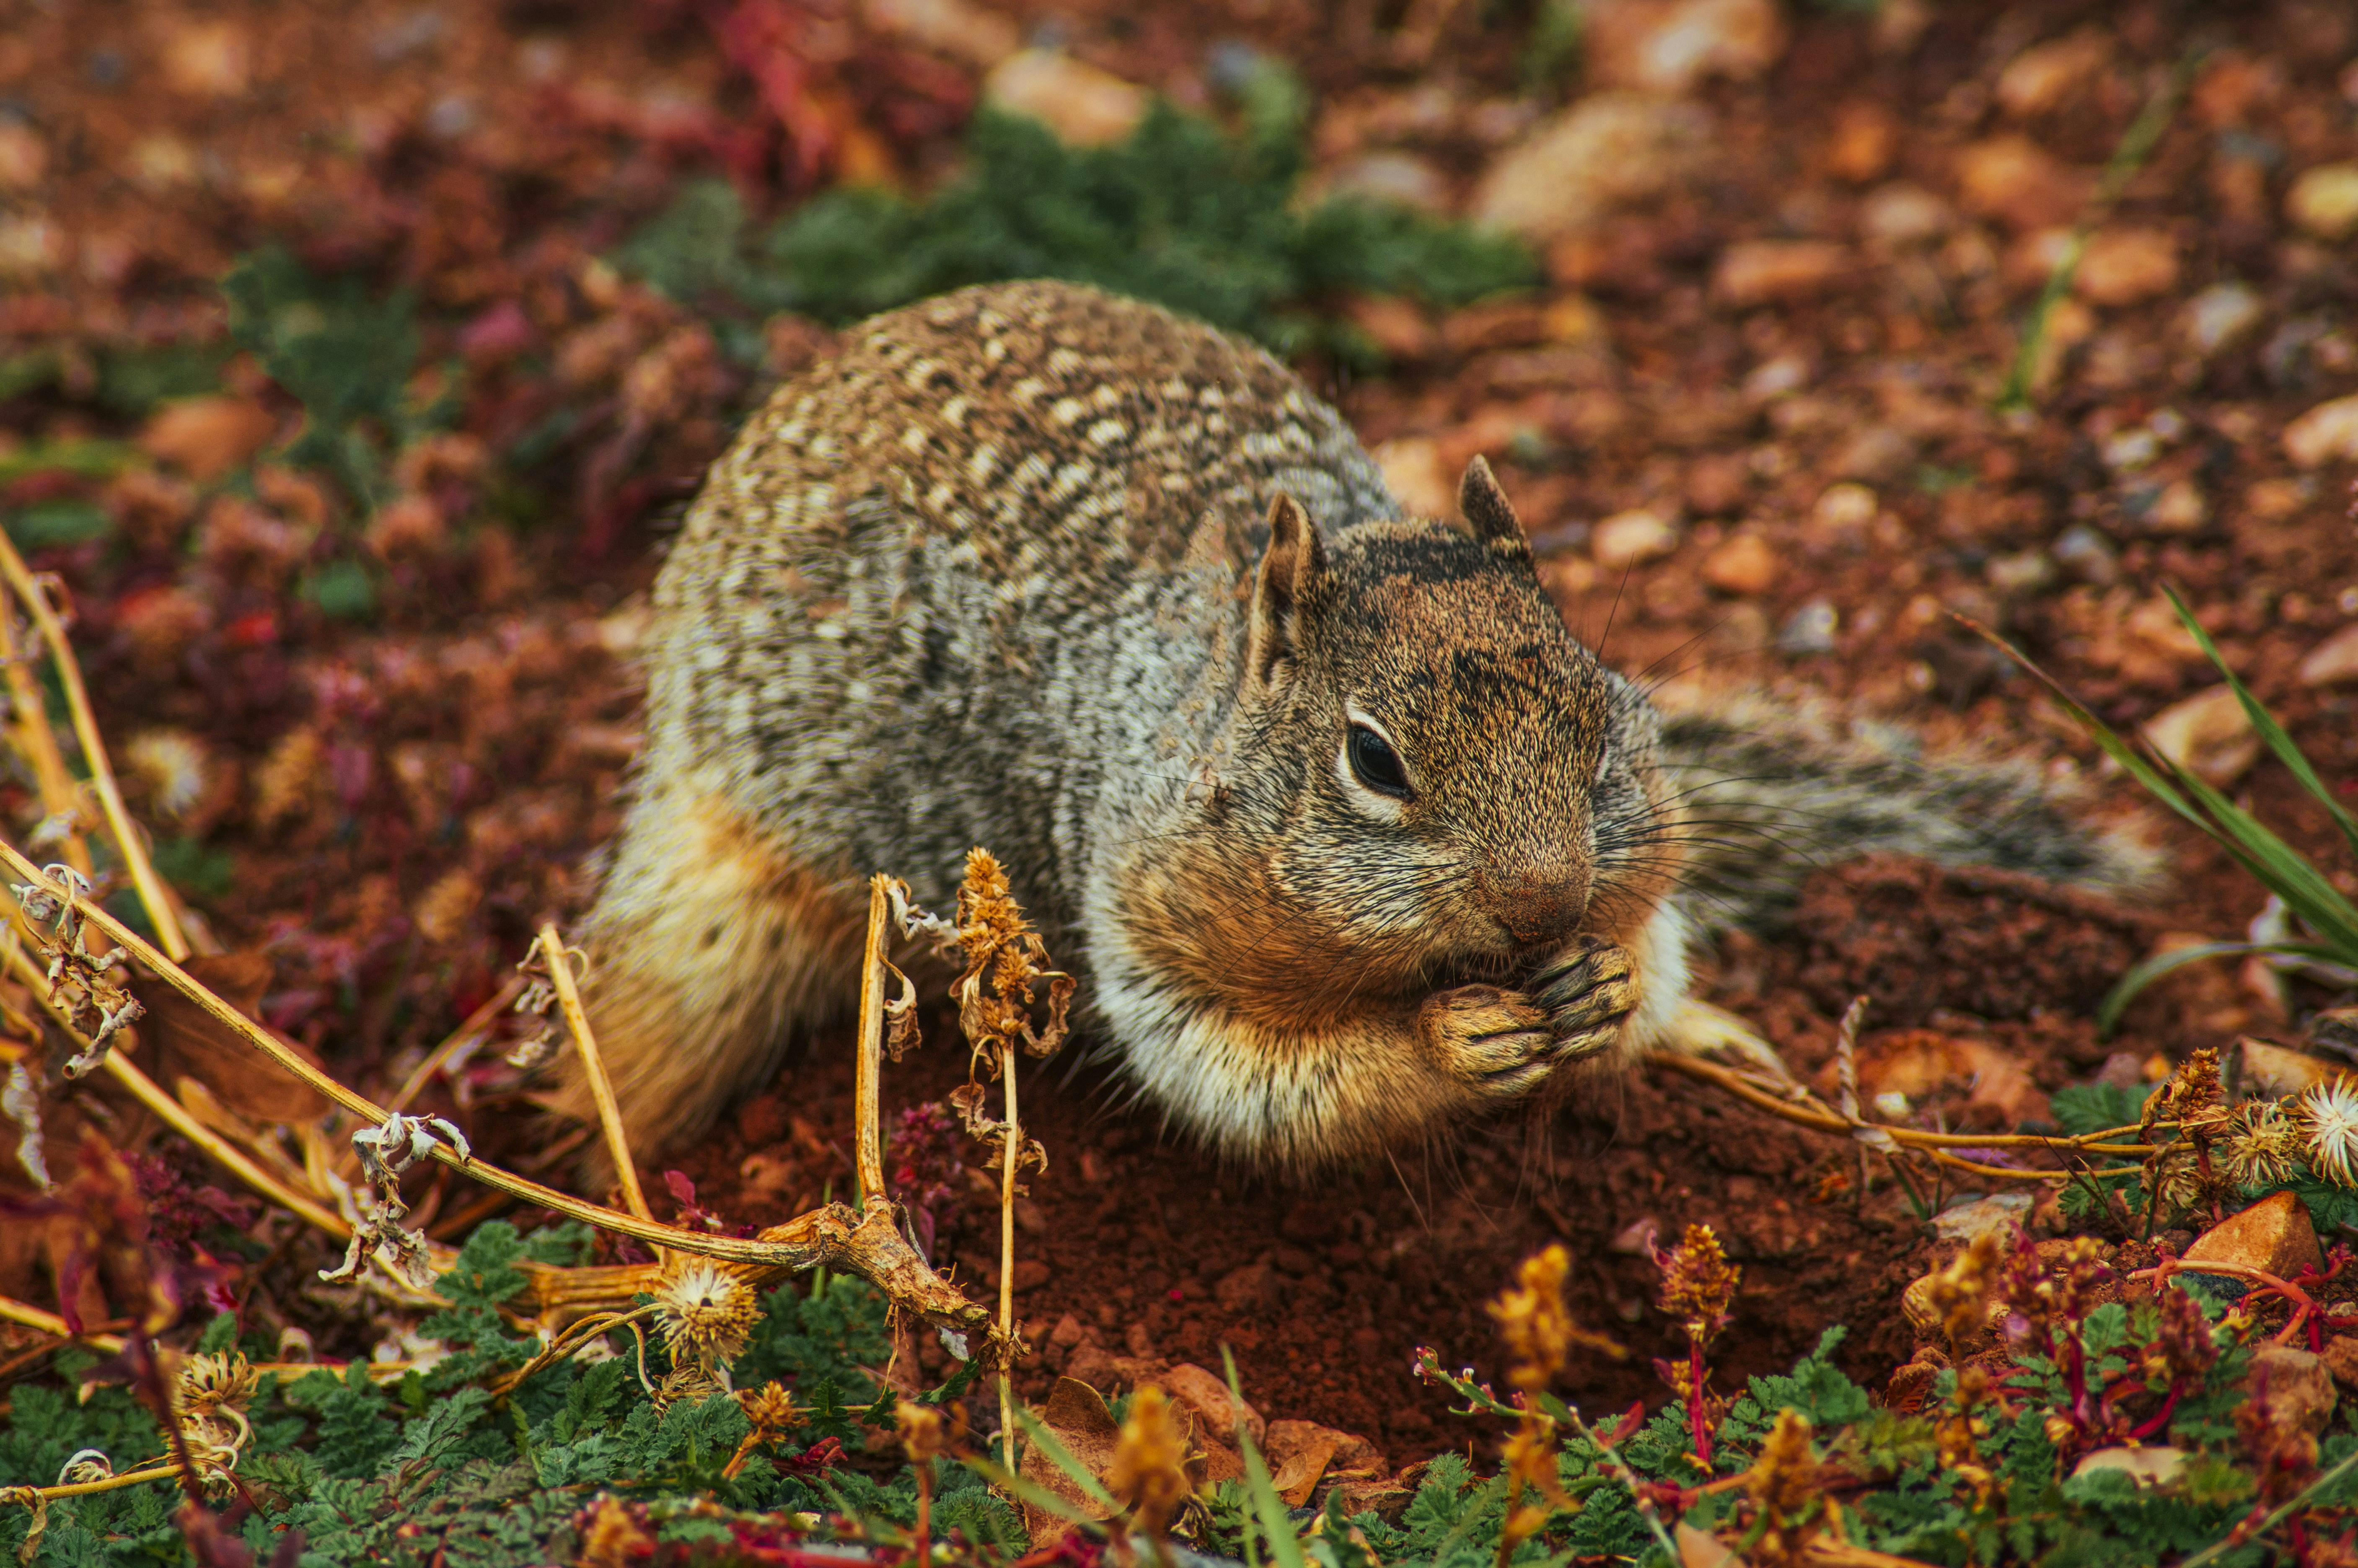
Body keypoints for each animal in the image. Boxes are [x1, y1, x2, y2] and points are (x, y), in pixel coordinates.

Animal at [554, 279, 2154, 1173]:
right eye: (1371, 761)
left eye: (1596, 710)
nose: (1543, 899)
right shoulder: (1140, 910)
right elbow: (1255, 1073)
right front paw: (1457, 1040)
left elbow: (1647, 932)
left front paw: (1605, 989)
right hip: (730, 886)